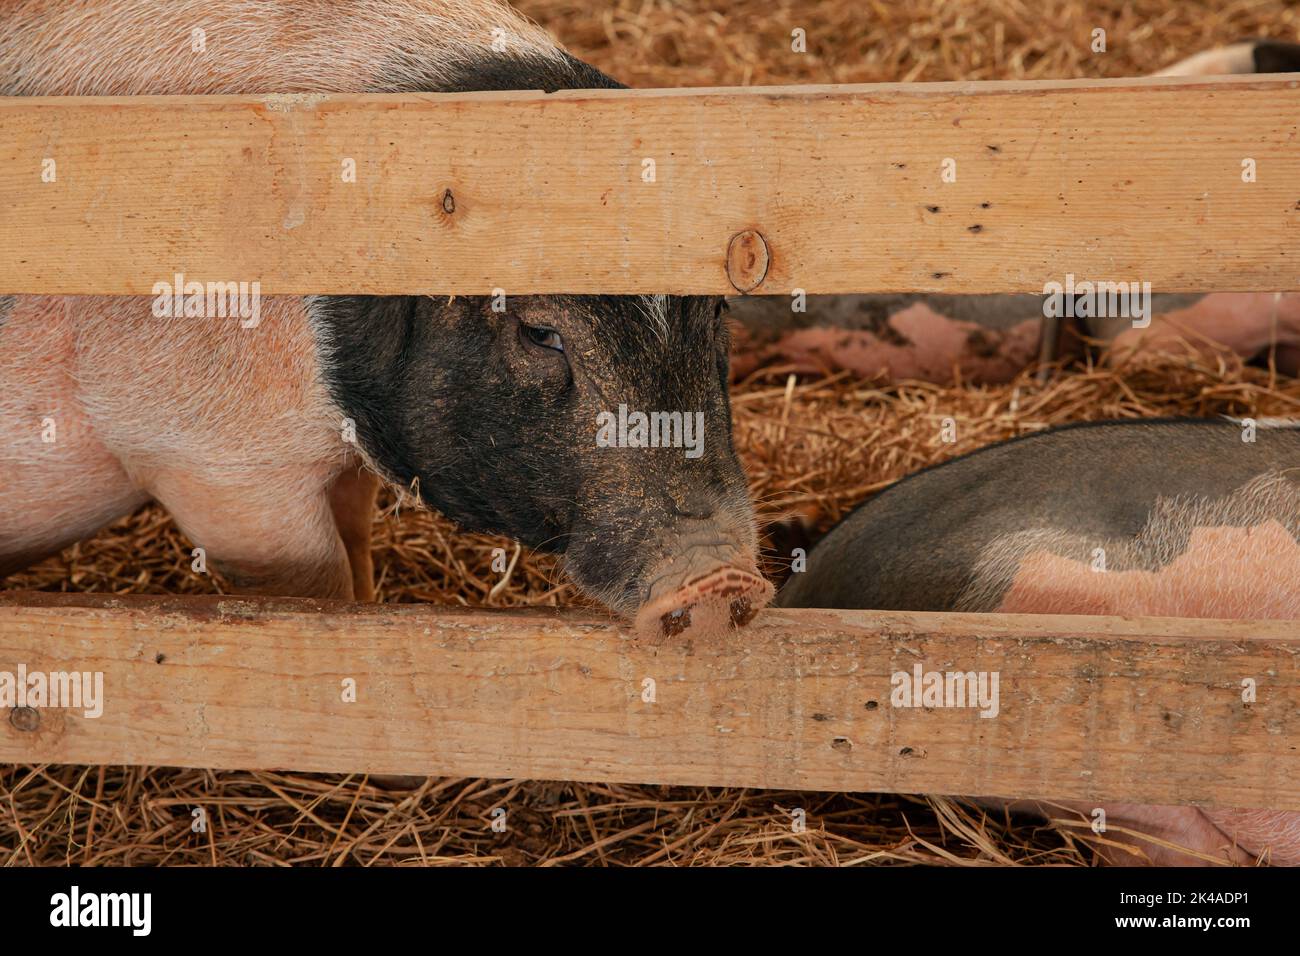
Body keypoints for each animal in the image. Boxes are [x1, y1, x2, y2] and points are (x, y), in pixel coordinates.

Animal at [0, 0, 772, 641]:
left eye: (716, 306)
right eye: (539, 332)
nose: (724, 580)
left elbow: (358, 540)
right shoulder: (204, 461)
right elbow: (321, 588)